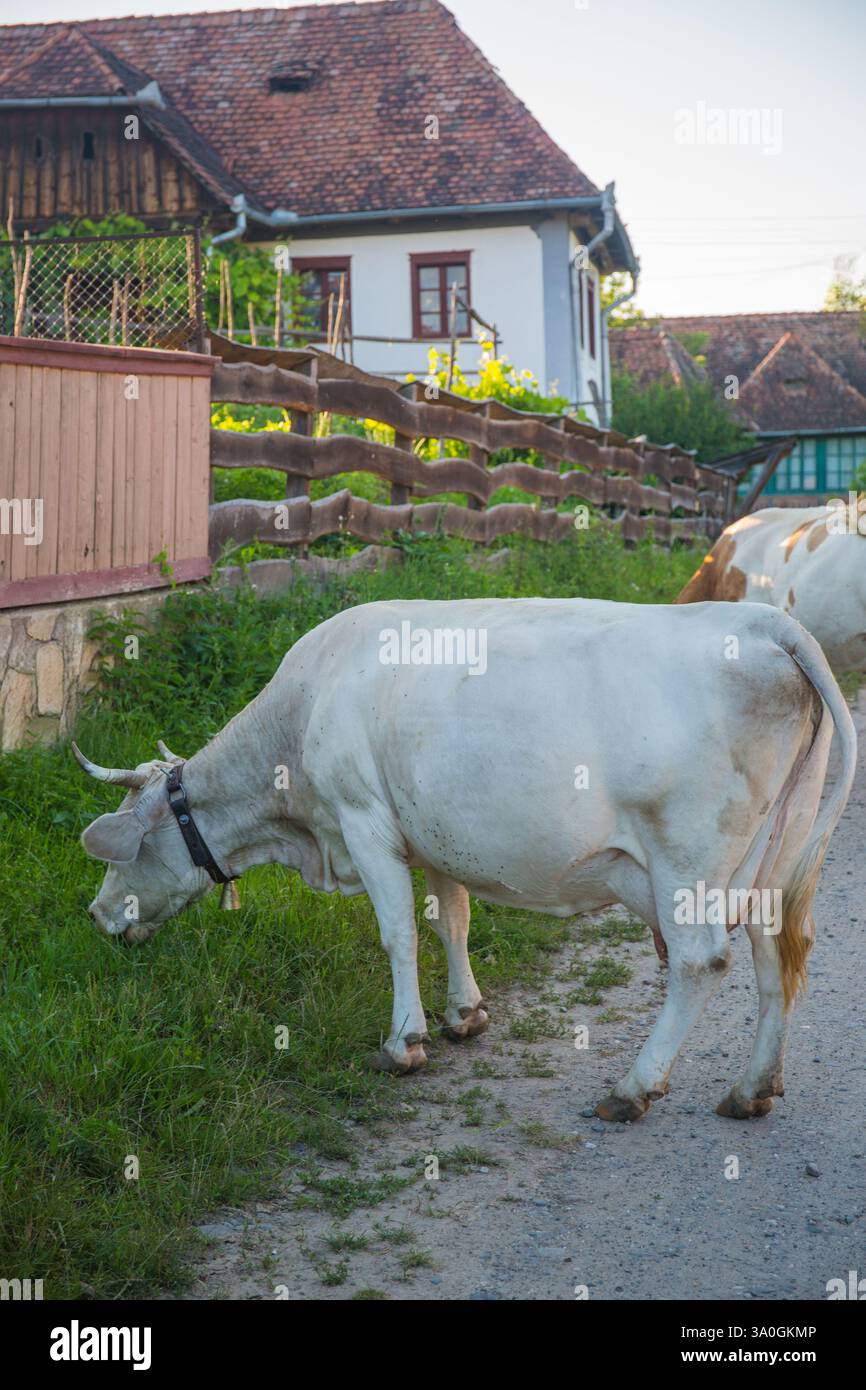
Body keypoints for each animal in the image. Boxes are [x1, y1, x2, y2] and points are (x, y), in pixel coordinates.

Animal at [74, 596, 855, 1123]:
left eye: (120, 854)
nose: (97, 914)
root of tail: (765, 622)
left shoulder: (364, 822)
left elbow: (399, 933)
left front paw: (404, 1041)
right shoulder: (434, 834)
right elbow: (451, 920)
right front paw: (465, 1013)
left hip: (686, 861)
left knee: (701, 963)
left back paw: (632, 1089)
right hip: (777, 857)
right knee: (775, 956)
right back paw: (752, 1088)